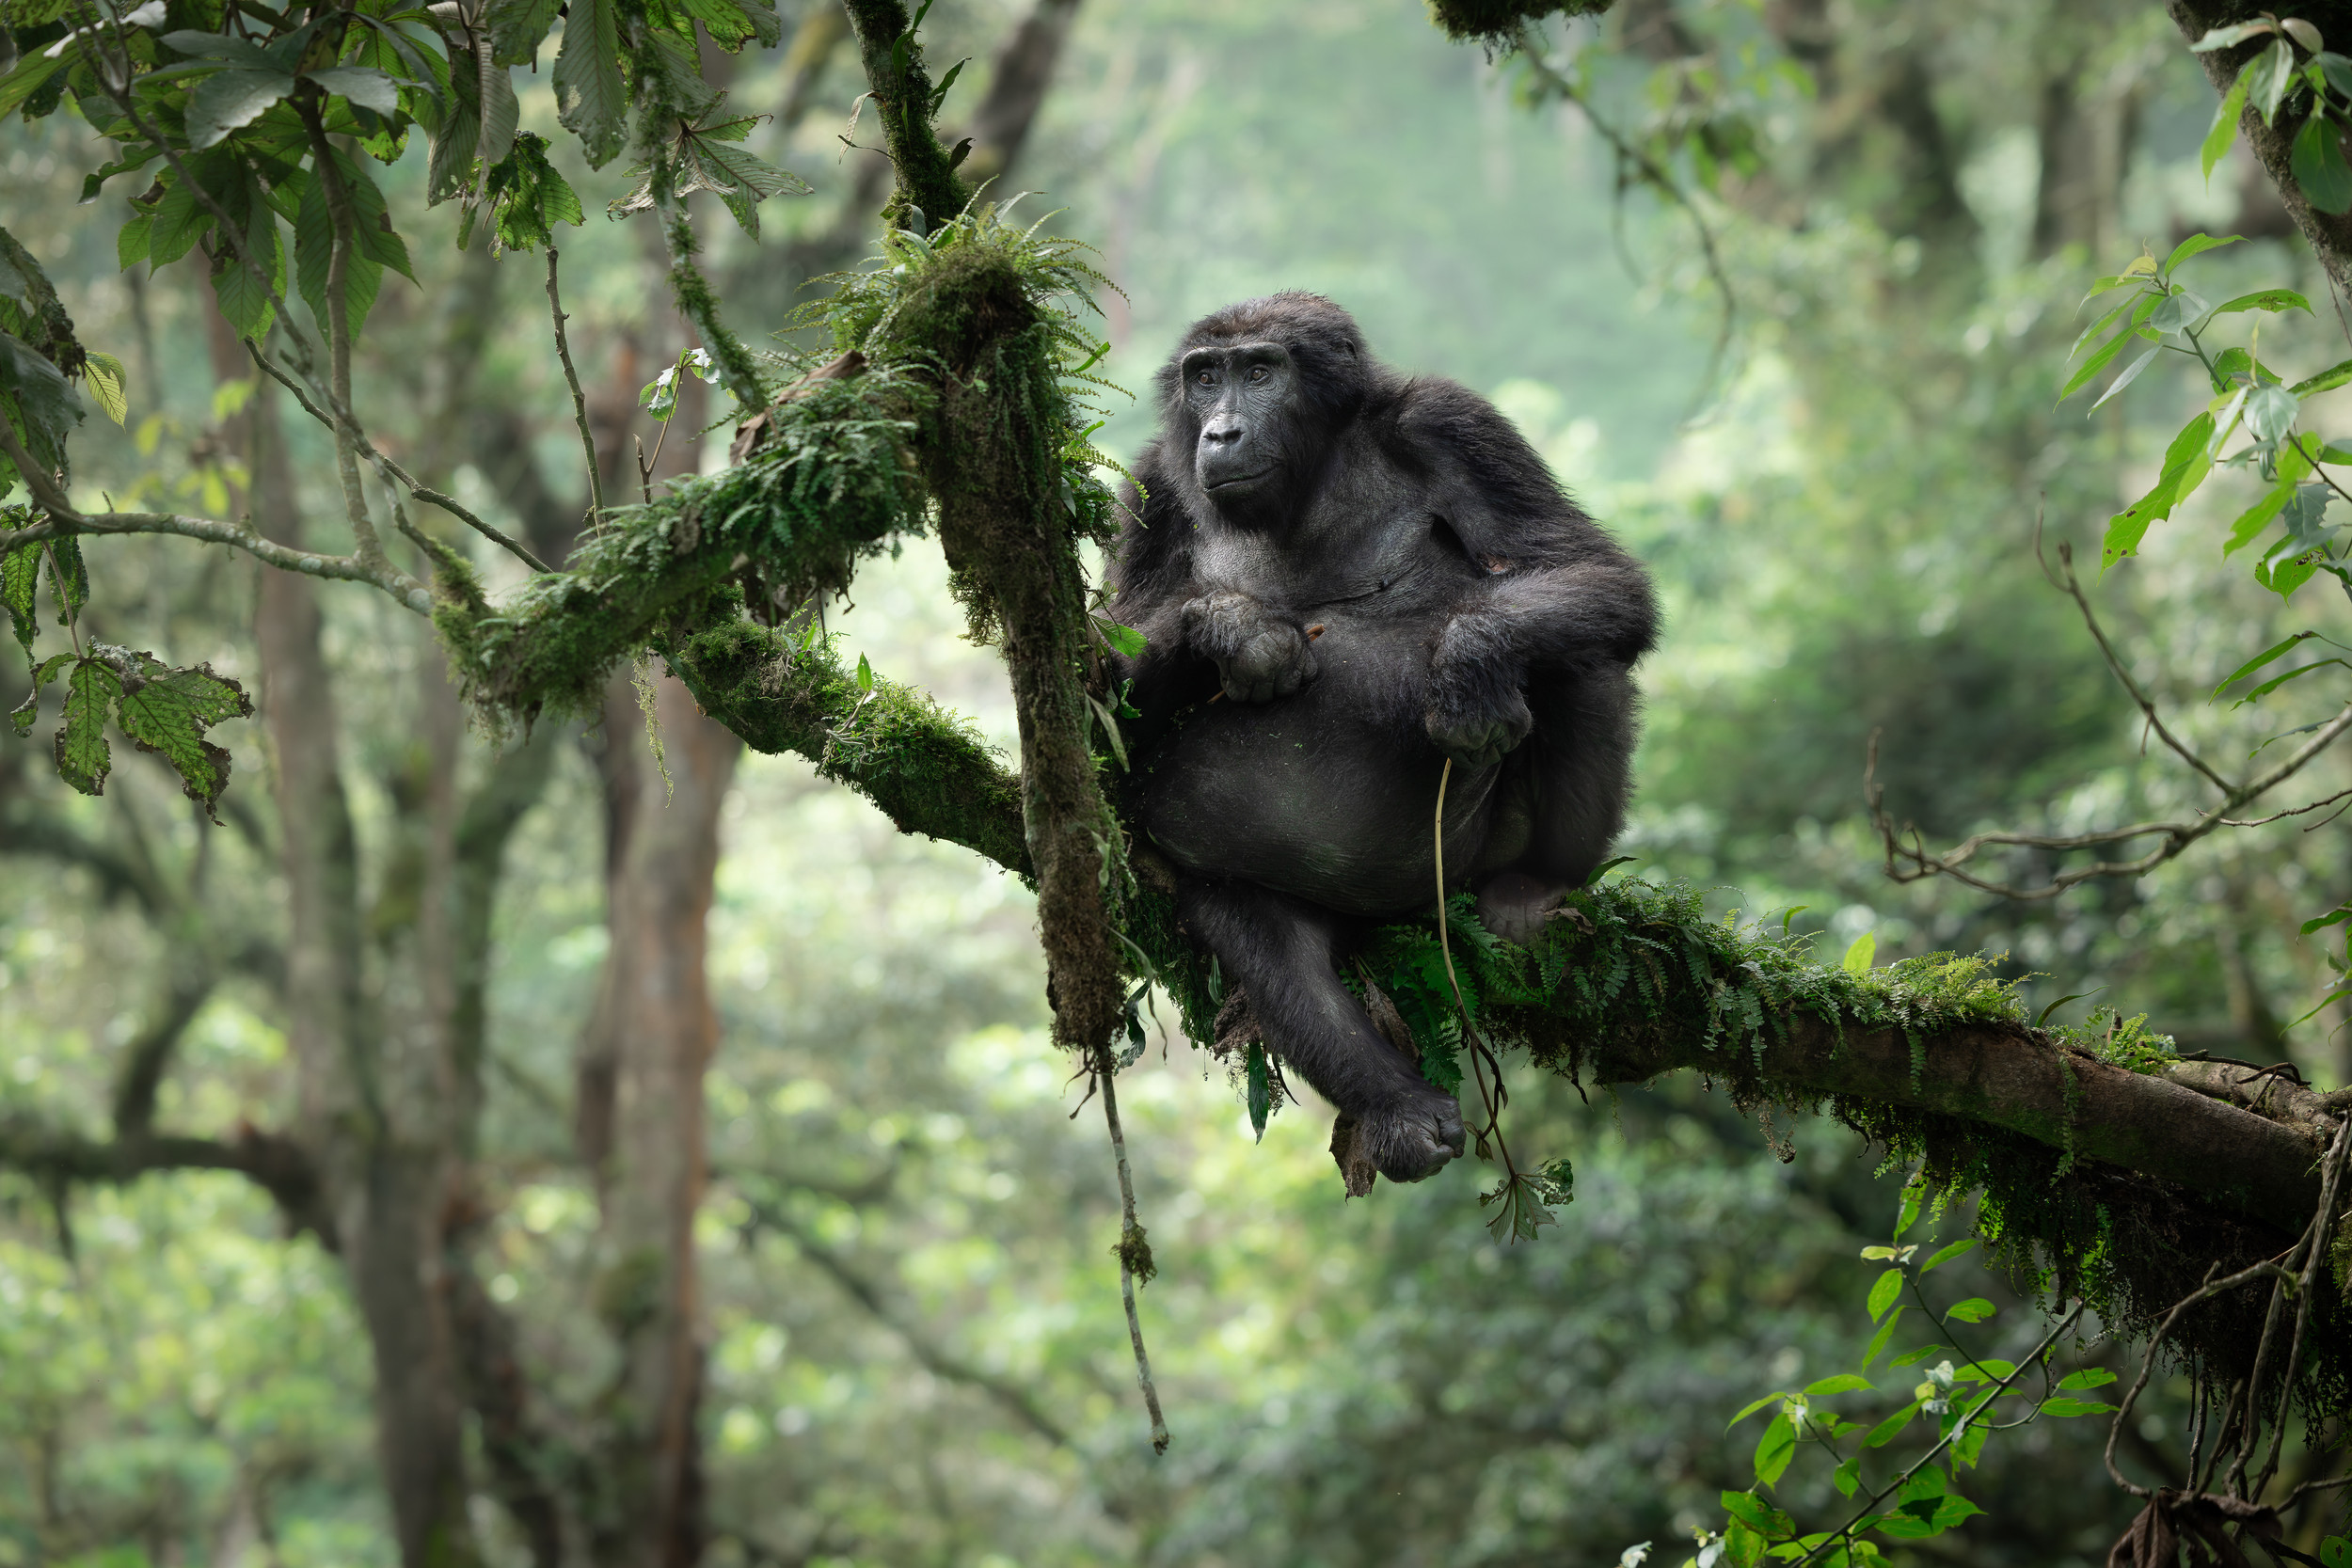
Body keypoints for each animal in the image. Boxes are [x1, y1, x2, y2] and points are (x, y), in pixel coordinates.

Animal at [1106, 292, 1657, 1185]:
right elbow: (1102, 689)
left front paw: (1468, 668)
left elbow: (1588, 570)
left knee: (1580, 658)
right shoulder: (1151, 486)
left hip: (1464, 866)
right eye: (1205, 376)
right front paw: (1232, 629)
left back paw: (1536, 883)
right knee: (1266, 943)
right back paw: (1395, 1107)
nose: (1220, 430)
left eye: (1261, 370)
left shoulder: (1452, 421)